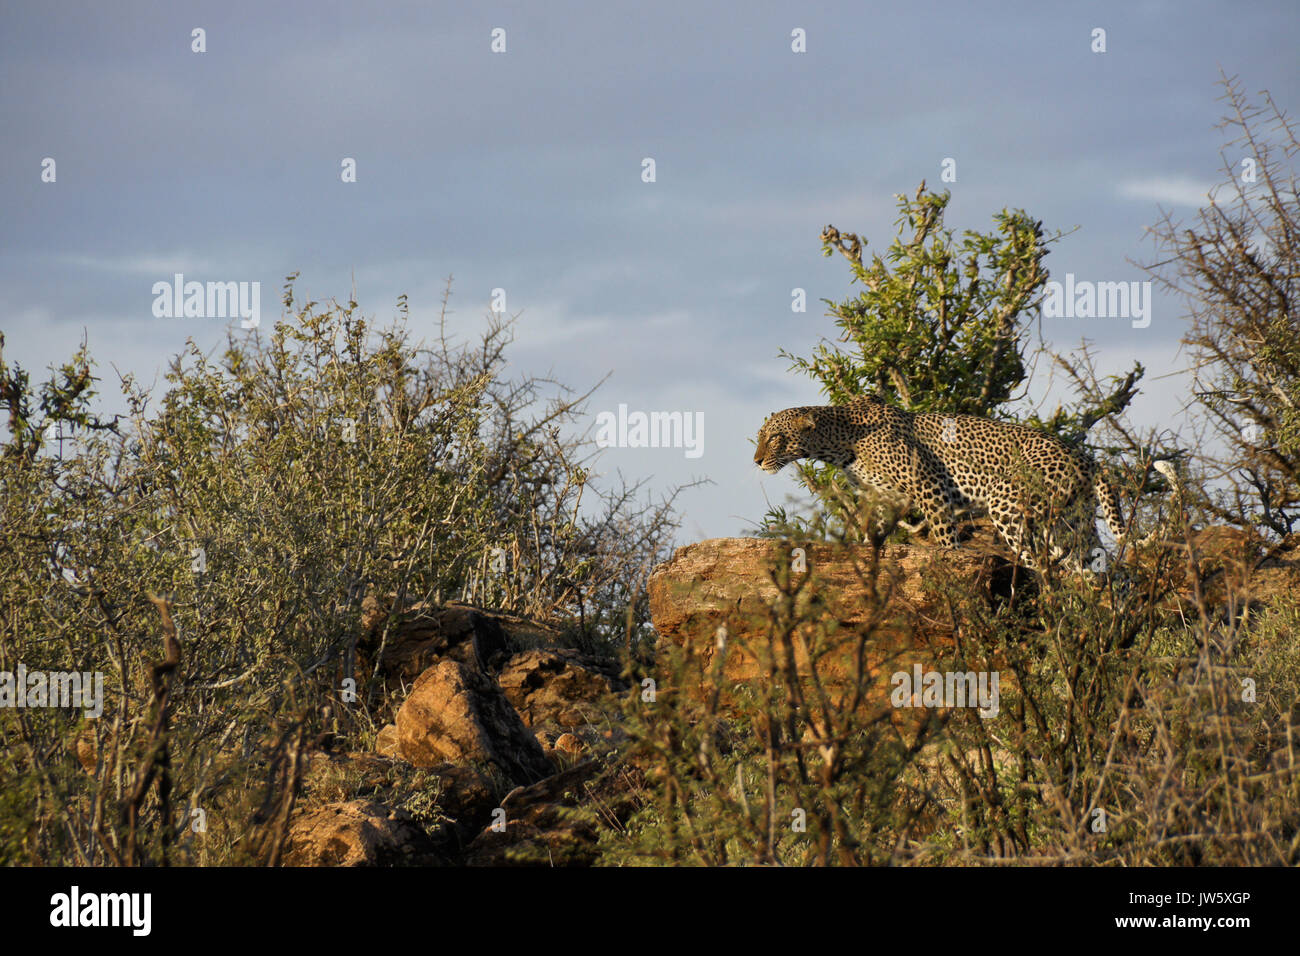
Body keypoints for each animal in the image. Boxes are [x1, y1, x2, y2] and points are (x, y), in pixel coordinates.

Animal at [753, 394, 1134, 572]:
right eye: (760, 436)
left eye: (775, 438)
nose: (756, 461)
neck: (839, 442)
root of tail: (1087, 459)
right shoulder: (885, 497)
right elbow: (875, 531)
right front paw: (867, 550)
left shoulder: (928, 483)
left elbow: (943, 531)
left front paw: (951, 557)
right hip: (1073, 520)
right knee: (1100, 569)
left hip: (1010, 504)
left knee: (1041, 562)